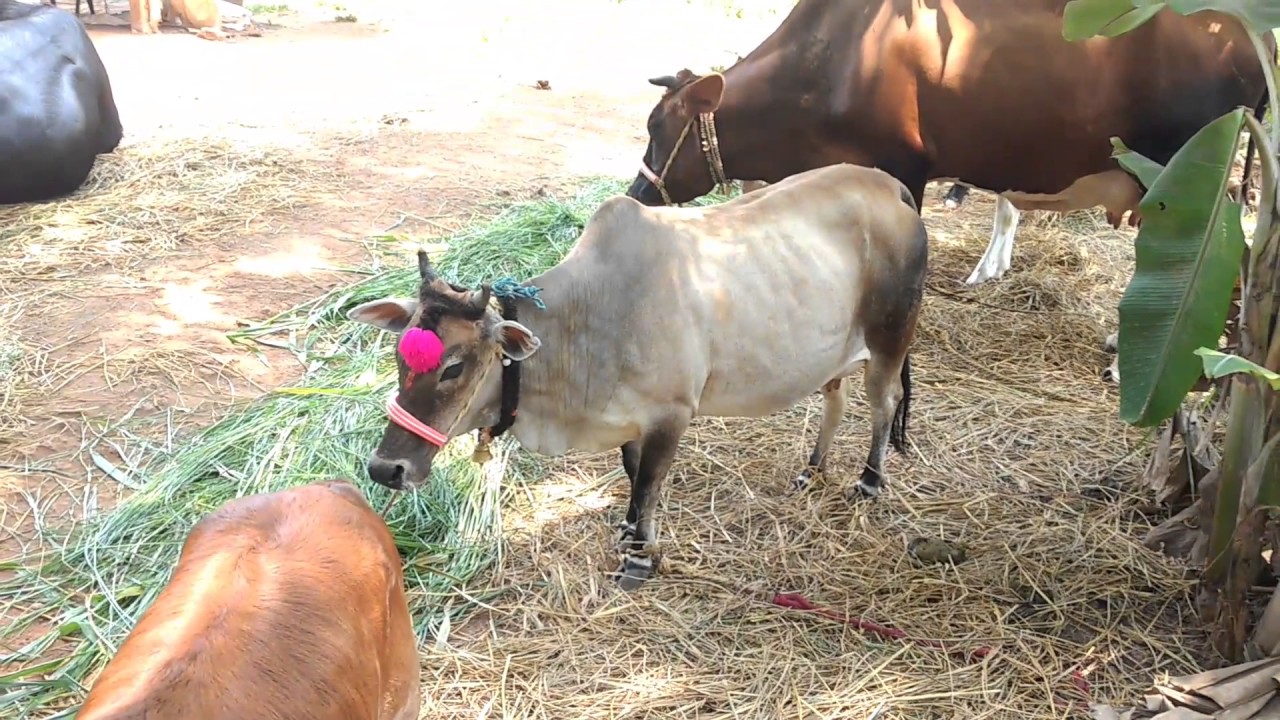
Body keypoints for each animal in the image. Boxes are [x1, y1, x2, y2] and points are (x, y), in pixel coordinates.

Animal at [346, 162, 929, 589]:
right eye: (400, 355)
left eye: (454, 367)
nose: (385, 469)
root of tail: (891, 185)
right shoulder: (631, 422)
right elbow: (631, 475)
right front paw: (628, 532)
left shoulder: (672, 414)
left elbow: (648, 484)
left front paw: (640, 560)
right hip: (832, 352)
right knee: (835, 399)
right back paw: (812, 468)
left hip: (890, 339)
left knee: (883, 403)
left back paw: (869, 480)